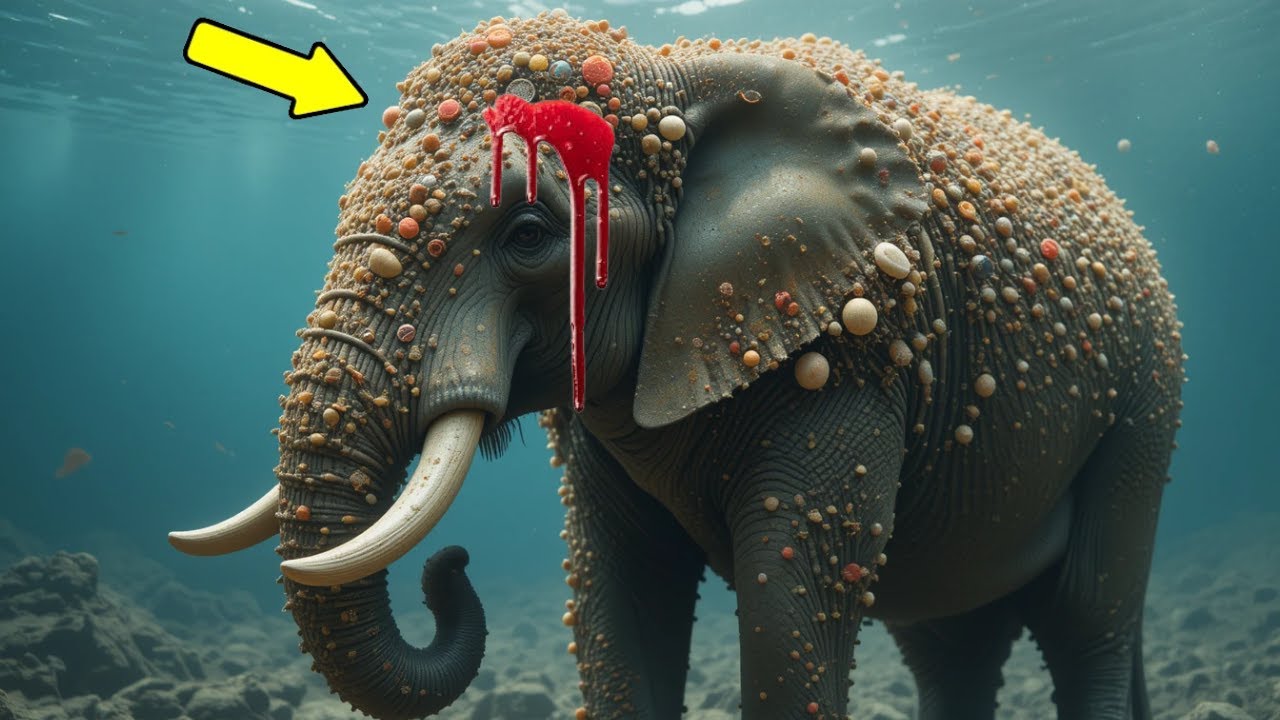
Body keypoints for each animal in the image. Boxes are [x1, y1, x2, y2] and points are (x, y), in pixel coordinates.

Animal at [169, 10, 1186, 720]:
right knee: (949, 644)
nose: (452, 567)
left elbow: (790, 603)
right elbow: (620, 592)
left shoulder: (848, 354)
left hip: (1145, 406)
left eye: (528, 234)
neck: (672, 72)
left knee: (1086, 617)